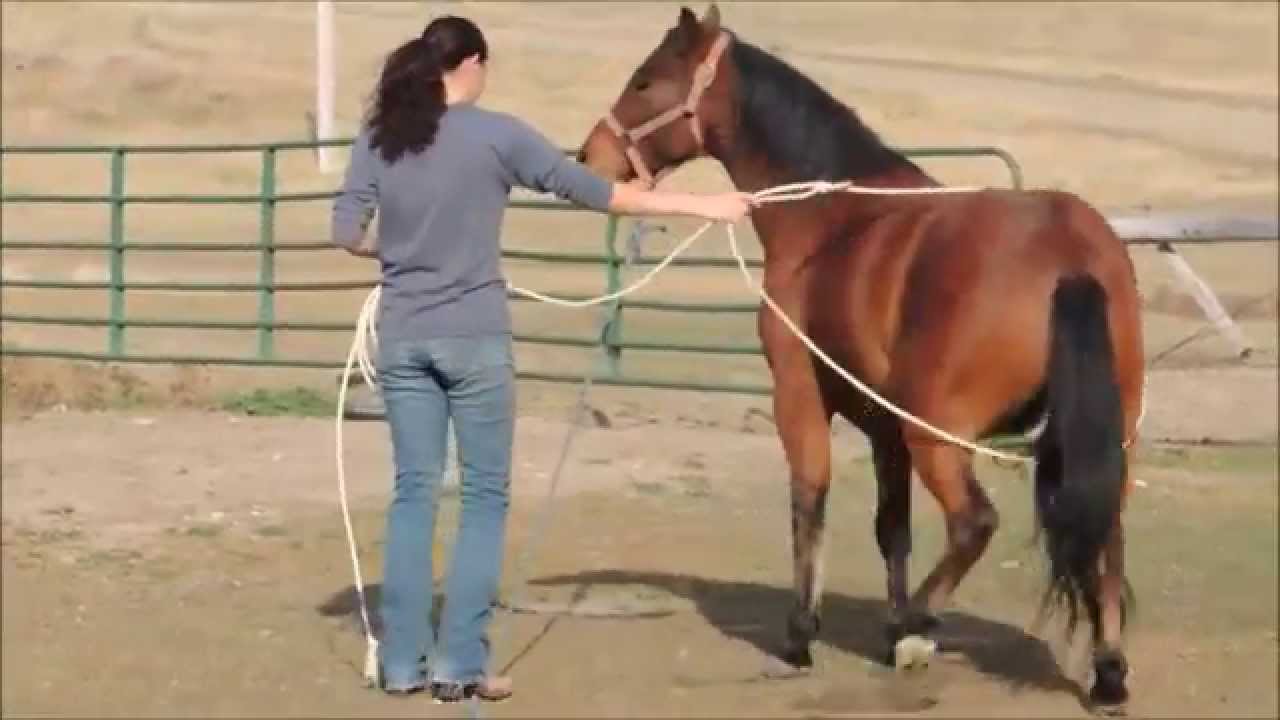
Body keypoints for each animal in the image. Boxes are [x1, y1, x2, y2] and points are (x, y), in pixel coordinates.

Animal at [576, 4, 1146, 710]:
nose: (590, 156)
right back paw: (1107, 670)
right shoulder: (885, 430)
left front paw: (802, 634)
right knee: (1106, 534)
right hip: (1095, 438)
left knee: (974, 523)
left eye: (647, 81)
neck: (832, 220)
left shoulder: (801, 397)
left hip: (941, 437)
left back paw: (916, 628)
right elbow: (891, 529)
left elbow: (809, 501)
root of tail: (1070, 251)